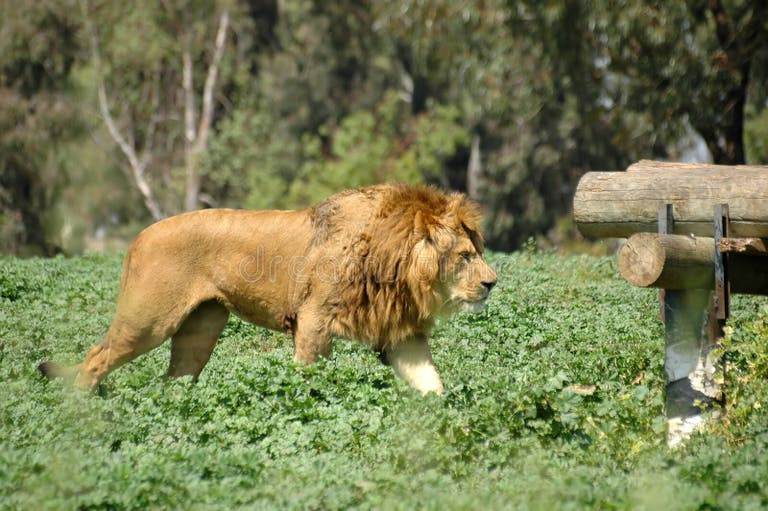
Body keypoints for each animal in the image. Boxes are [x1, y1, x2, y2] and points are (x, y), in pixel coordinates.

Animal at [39, 183, 497, 394]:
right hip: (149, 320)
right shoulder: (314, 320)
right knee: (96, 357)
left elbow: (431, 382)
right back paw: (80, 410)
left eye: (477, 251)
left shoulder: (403, 336)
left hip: (199, 330)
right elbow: (308, 375)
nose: (493, 282)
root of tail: (137, 237)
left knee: (175, 379)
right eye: (465, 256)